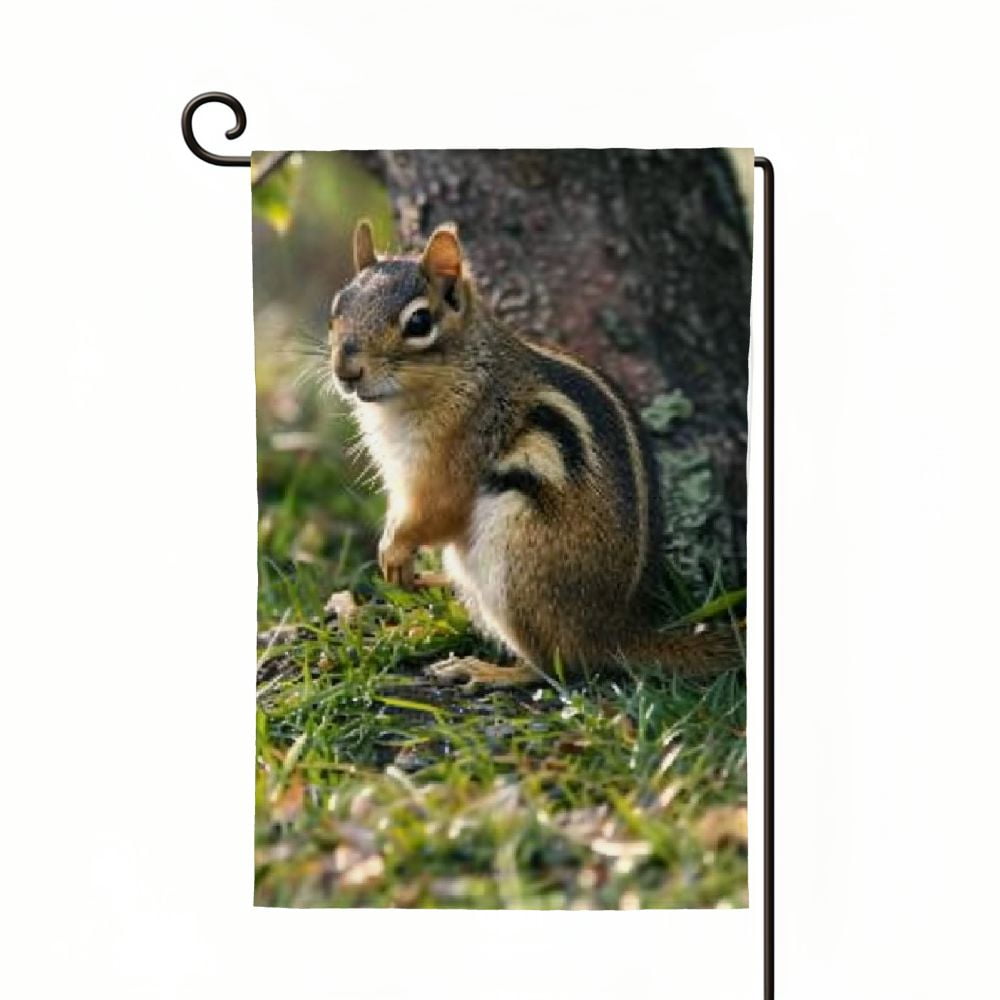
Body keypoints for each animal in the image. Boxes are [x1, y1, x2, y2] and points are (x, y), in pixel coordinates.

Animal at [326, 219, 741, 688]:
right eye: (338, 306)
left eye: (419, 321)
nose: (346, 371)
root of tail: (616, 630)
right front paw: (398, 563)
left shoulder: (455, 456)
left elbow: (436, 510)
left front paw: (395, 549)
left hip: (513, 564)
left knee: (554, 665)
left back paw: (488, 670)